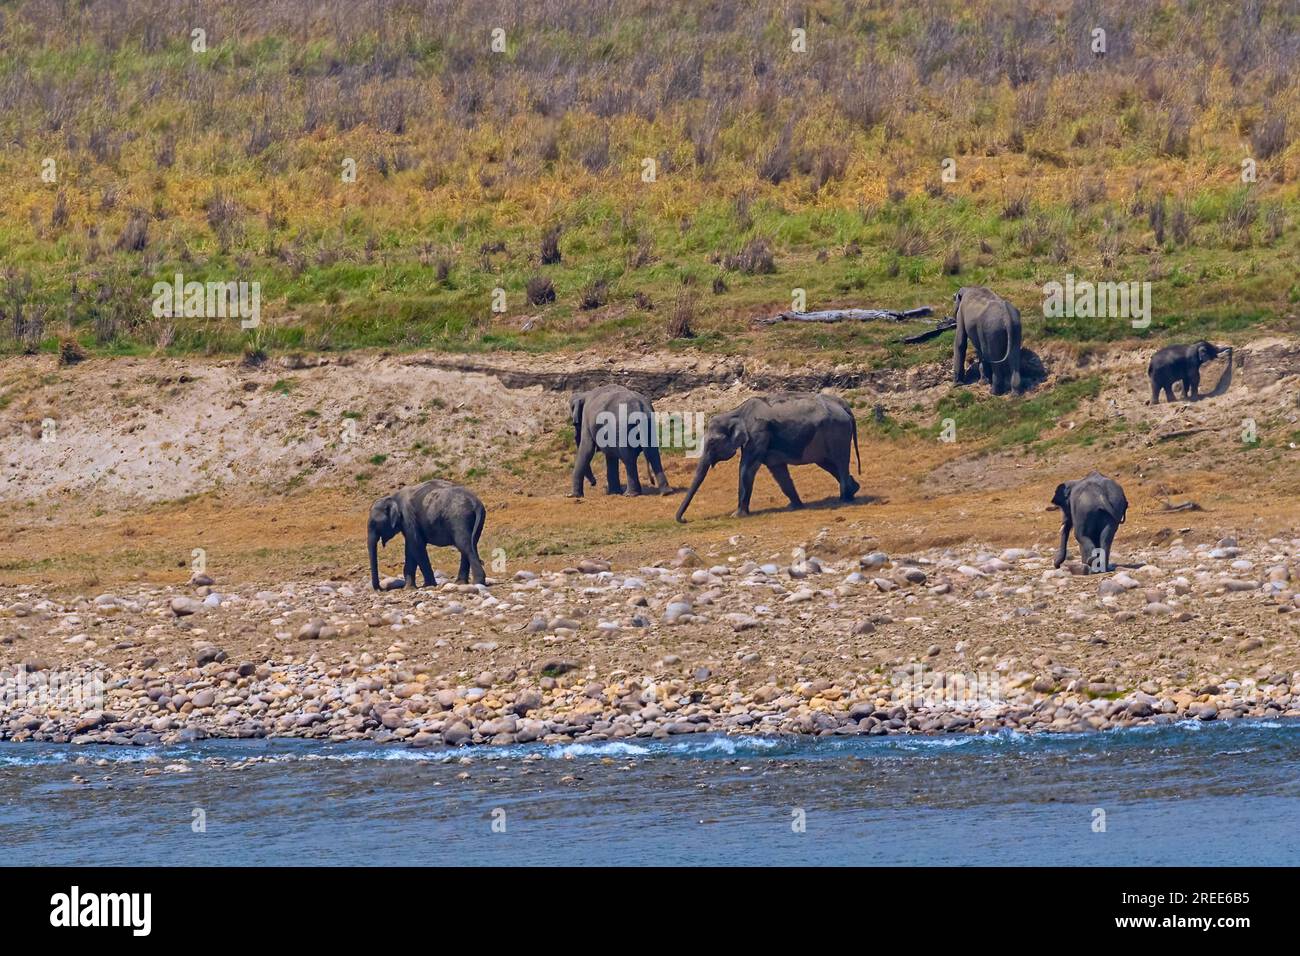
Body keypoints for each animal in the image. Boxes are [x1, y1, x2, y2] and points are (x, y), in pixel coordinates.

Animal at [675, 392, 860, 522]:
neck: (737, 412)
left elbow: (746, 469)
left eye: (712, 442)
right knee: (829, 463)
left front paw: (737, 515)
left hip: (837, 431)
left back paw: (844, 499)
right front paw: (794, 506)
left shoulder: (758, 434)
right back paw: (853, 491)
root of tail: (844, 405)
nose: (684, 520)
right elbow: (778, 471)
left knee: (840, 461)